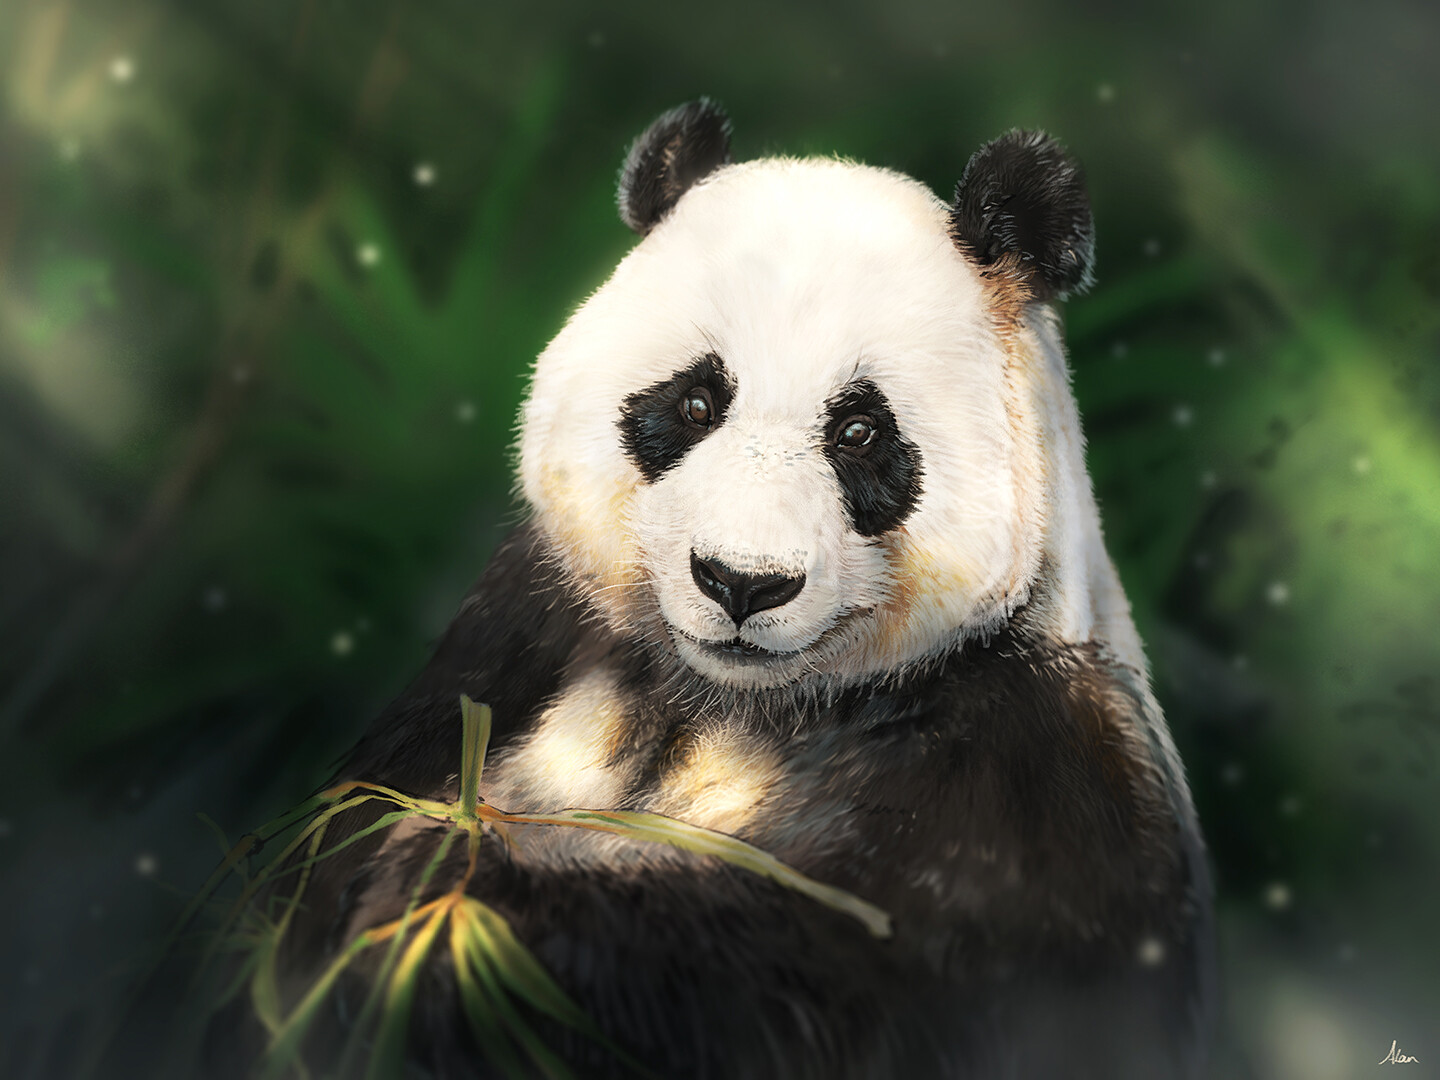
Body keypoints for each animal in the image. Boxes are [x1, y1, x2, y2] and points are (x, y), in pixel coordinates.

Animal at [283, 100, 1214, 1079]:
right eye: (695, 403)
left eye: (859, 431)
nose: (740, 583)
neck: (732, 702)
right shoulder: (518, 635)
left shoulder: (1027, 784)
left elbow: (801, 985)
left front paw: (453, 896)